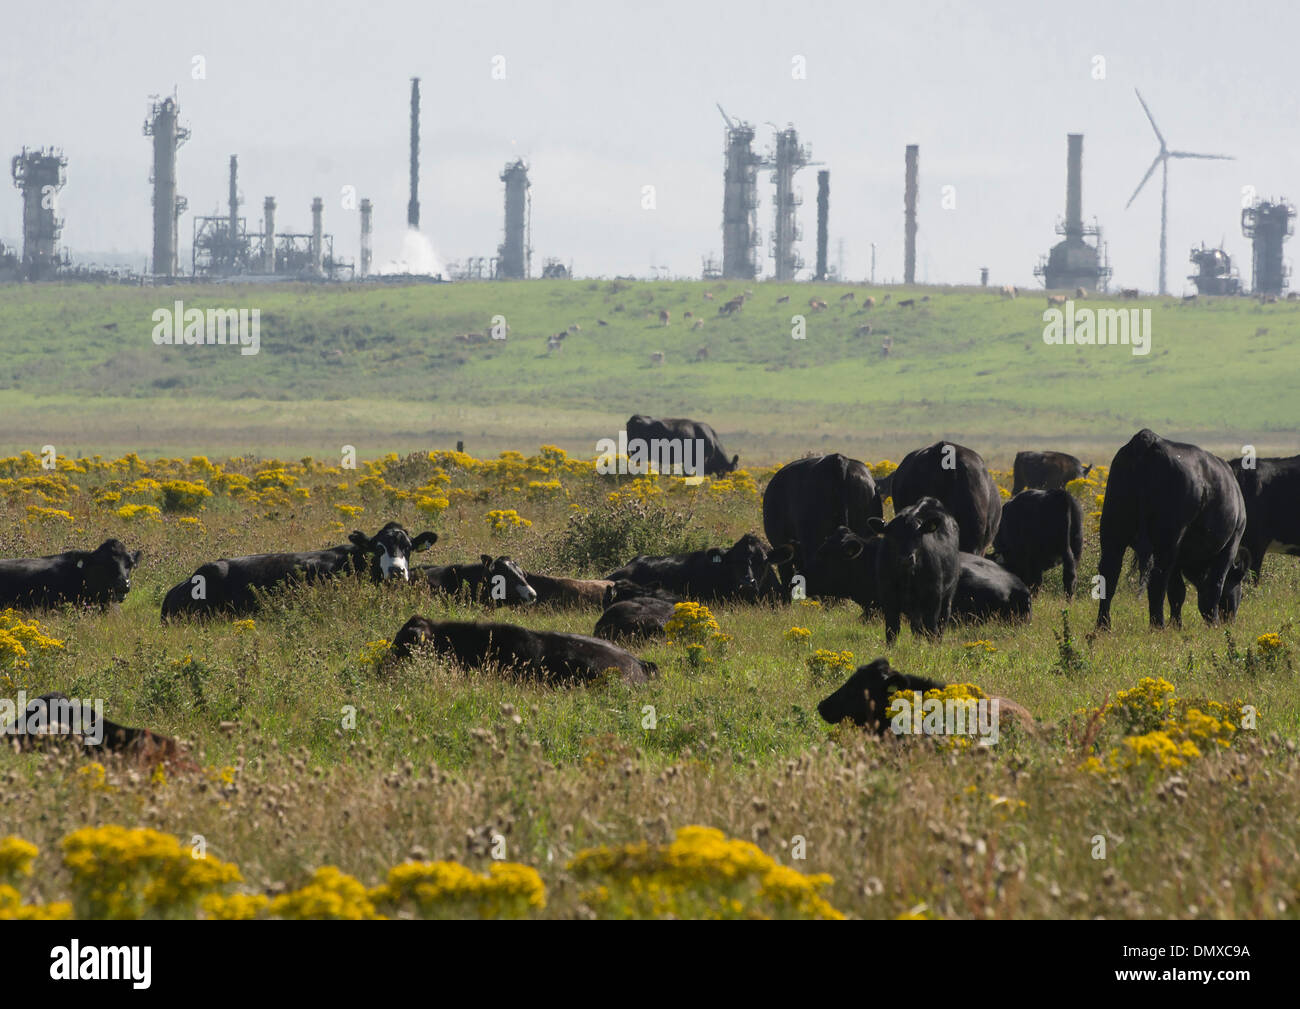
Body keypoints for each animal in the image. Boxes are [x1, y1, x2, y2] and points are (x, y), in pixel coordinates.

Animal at [869, 496, 961, 645]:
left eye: (918, 536)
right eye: (892, 537)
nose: (906, 559)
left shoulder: (933, 598)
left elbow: (931, 629)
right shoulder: (888, 597)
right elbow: (892, 630)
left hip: (948, 595)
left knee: (941, 623)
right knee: (917, 628)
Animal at [1096, 429, 1248, 630]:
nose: (1230, 619)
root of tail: (1149, 440)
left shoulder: (1178, 558)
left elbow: (1177, 592)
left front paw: (1177, 624)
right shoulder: (1229, 547)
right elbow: (1215, 586)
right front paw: (1211, 621)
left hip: (1113, 532)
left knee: (1109, 574)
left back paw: (1103, 625)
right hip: (1166, 541)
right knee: (1157, 580)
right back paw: (1157, 625)